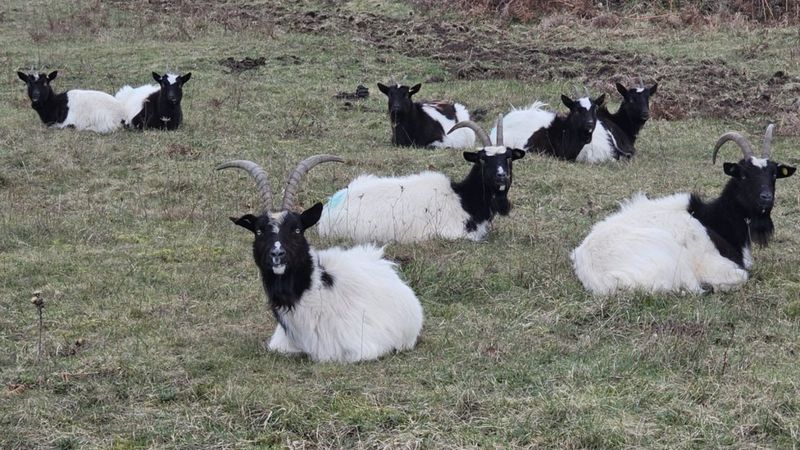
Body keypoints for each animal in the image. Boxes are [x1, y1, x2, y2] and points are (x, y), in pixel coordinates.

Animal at [218, 155, 423, 362]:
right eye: (259, 231)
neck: (314, 295)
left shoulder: (363, 348)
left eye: (297, 229)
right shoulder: (281, 343)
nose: (277, 254)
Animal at [571, 125, 796, 294]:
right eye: (743, 174)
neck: (713, 219)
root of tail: (598, 277)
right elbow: (743, 275)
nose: (766, 198)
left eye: (774, 174)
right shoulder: (713, 263)